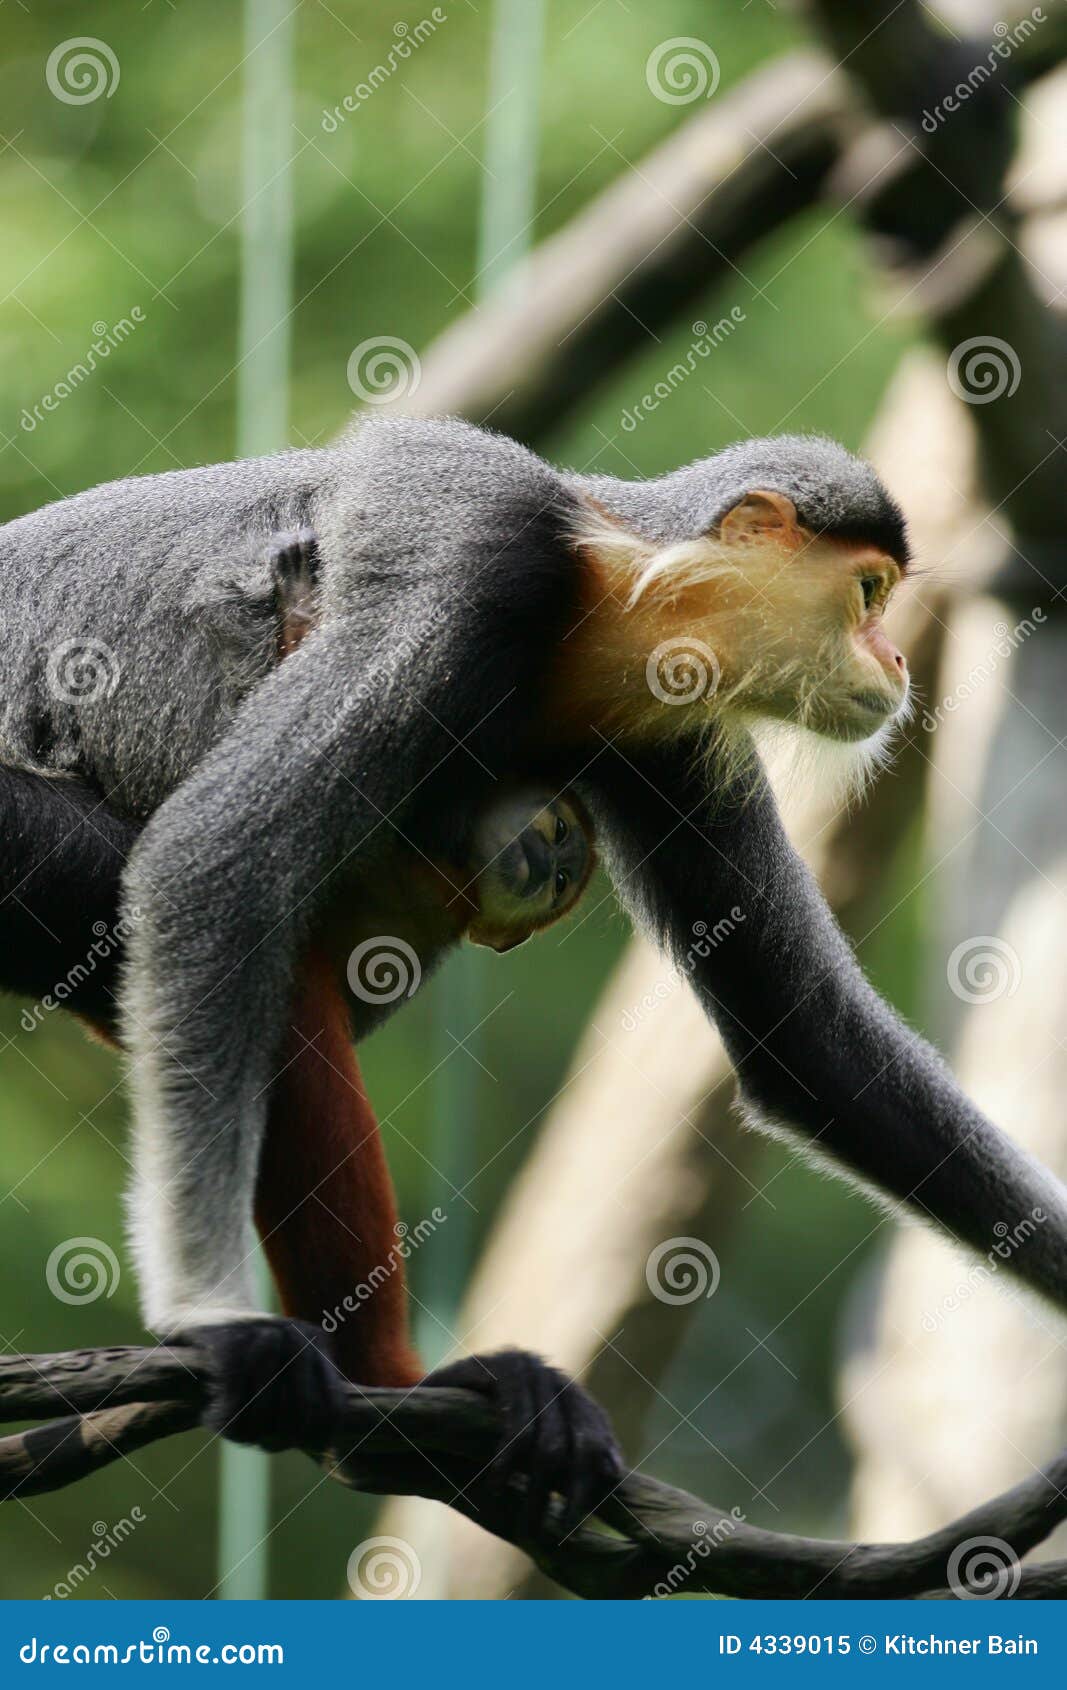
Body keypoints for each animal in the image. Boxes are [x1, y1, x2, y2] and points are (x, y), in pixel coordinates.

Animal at [4, 417, 1067, 1515]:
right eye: (867, 594)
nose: (894, 656)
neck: (602, 579)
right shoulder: (470, 551)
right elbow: (210, 860)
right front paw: (218, 1323)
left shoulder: (669, 726)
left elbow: (805, 1041)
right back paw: (388, 1393)